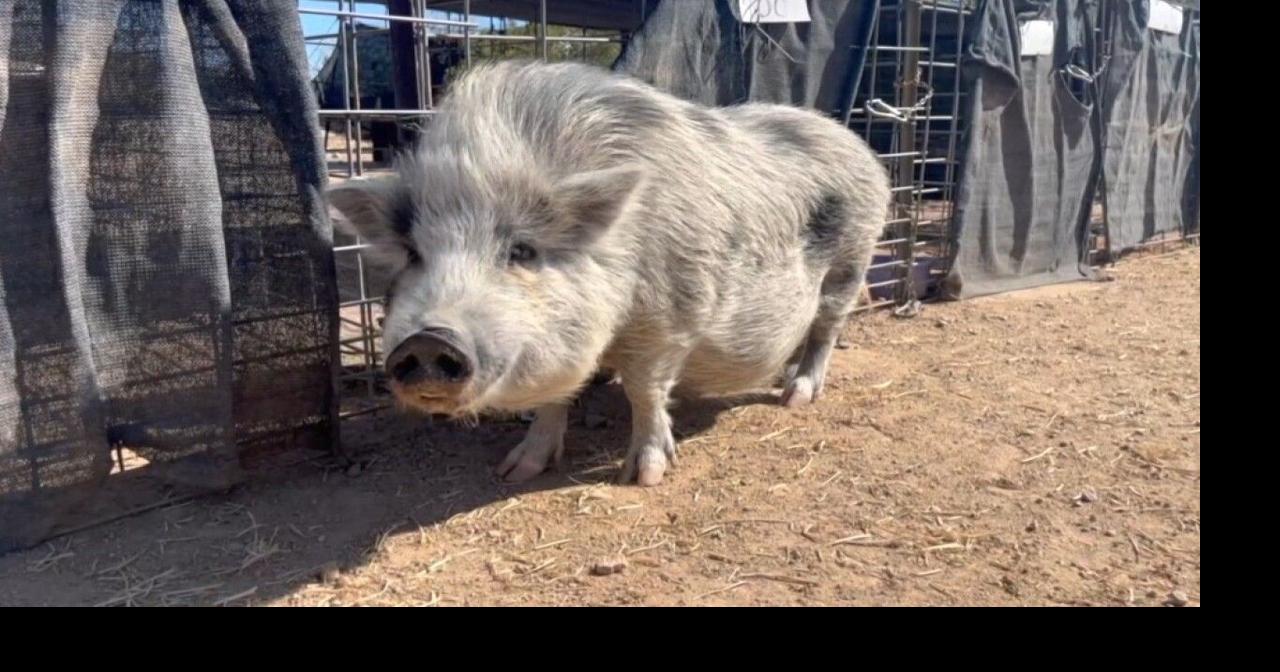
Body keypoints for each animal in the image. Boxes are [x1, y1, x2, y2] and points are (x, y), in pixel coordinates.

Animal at [327, 60, 890, 486]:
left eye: (523, 251)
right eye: (412, 253)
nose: (426, 341)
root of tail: (859, 147)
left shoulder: (671, 316)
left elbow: (644, 390)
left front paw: (644, 477)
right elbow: (555, 396)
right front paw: (516, 470)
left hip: (852, 260)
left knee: (825, 330)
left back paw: (796, 396)